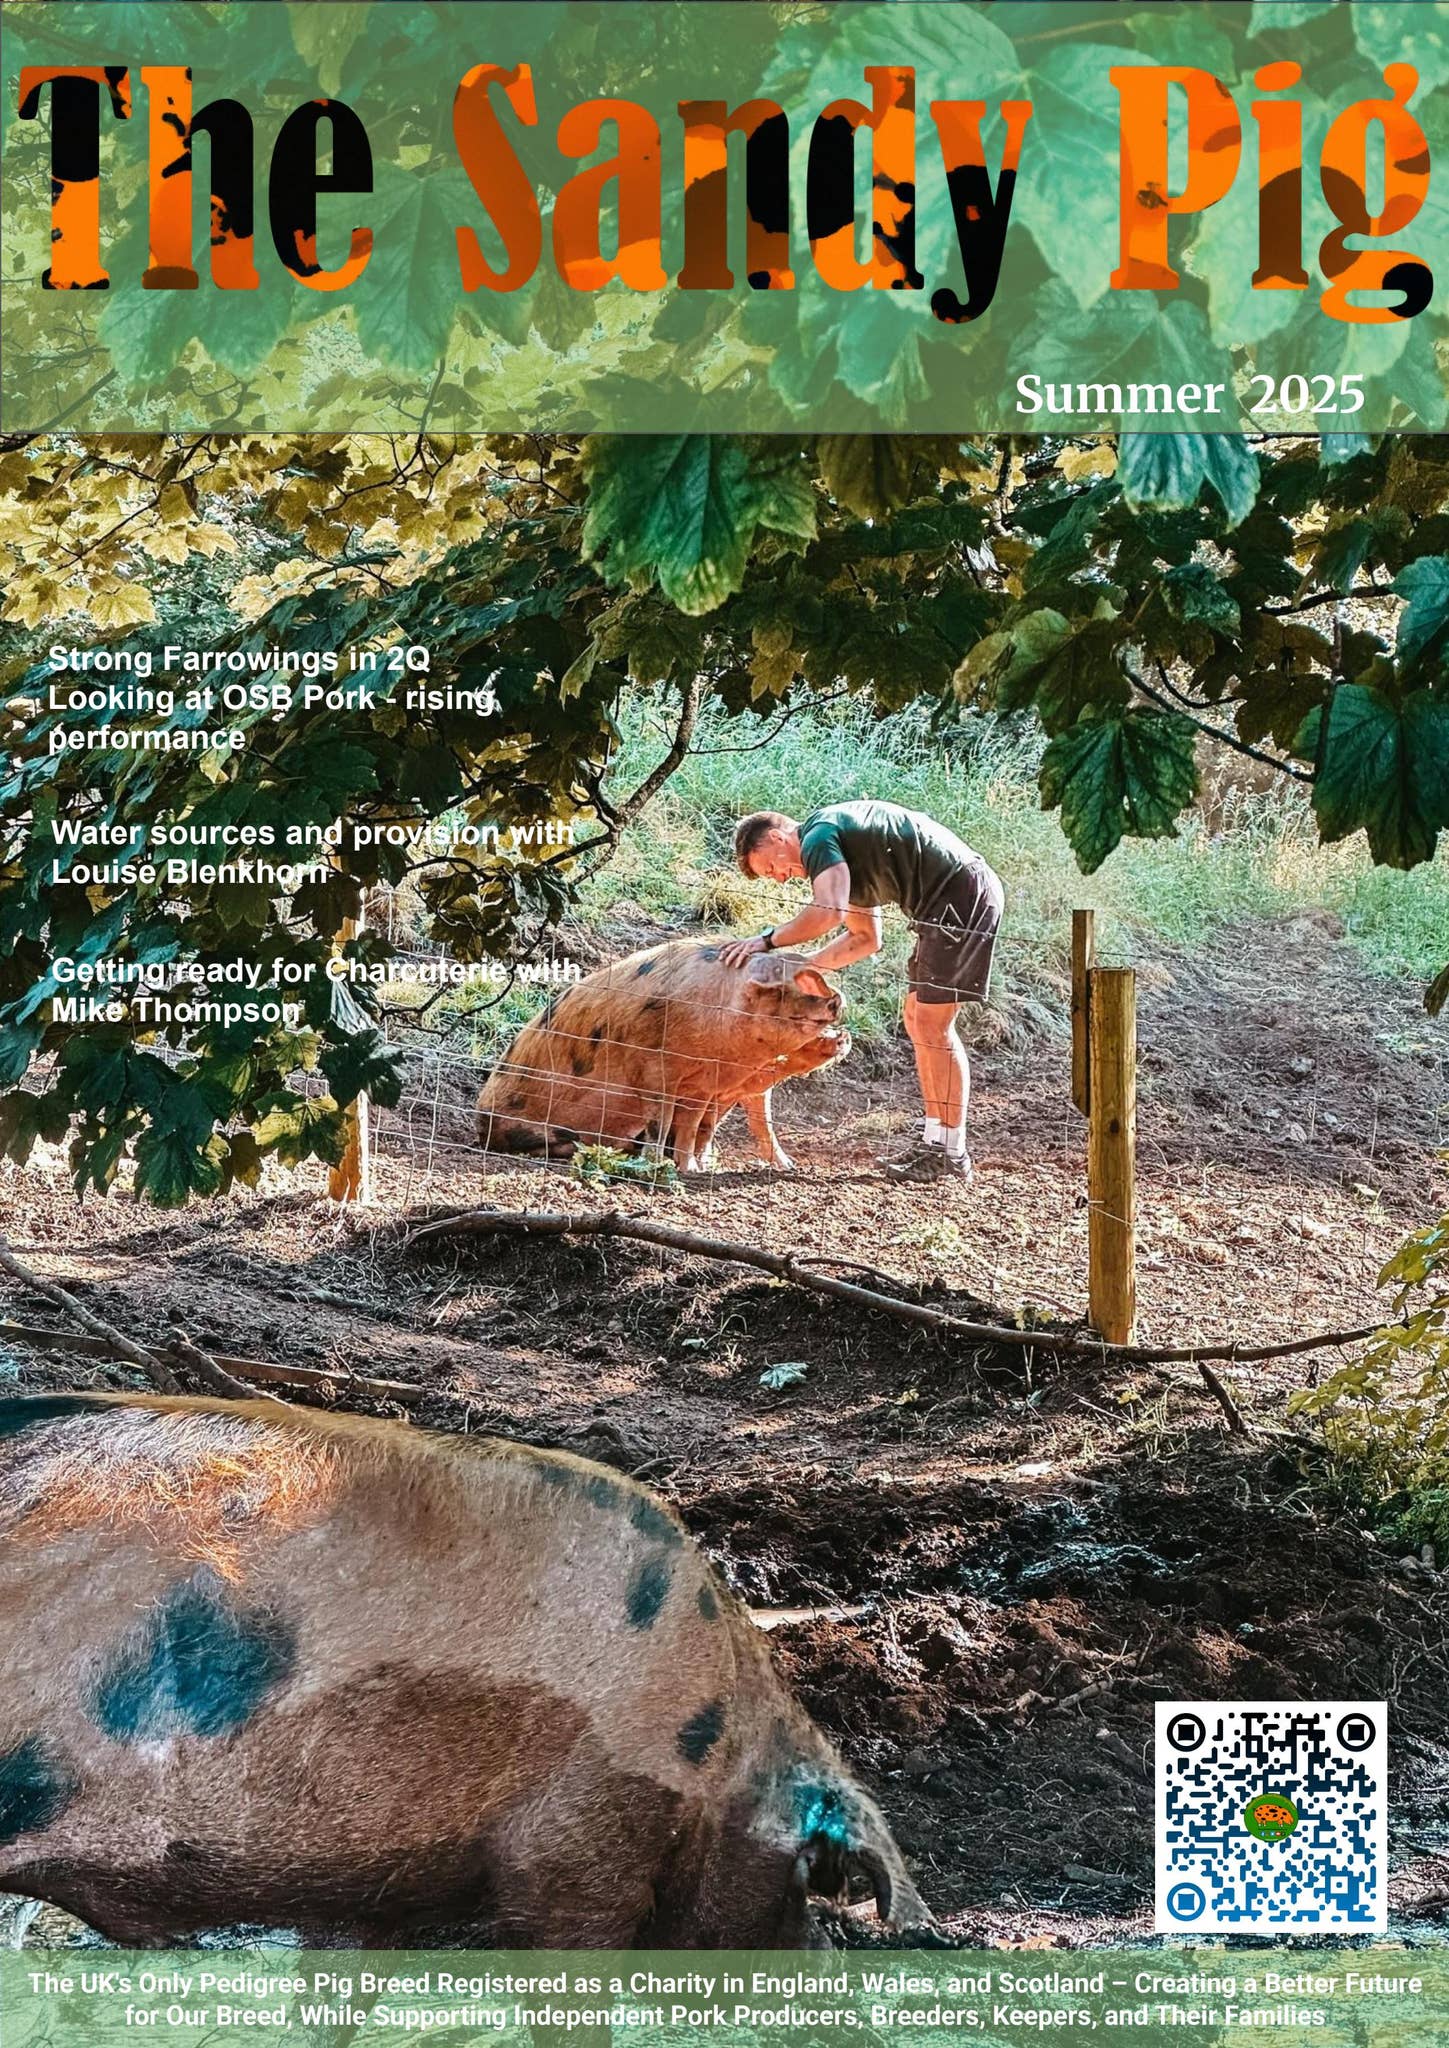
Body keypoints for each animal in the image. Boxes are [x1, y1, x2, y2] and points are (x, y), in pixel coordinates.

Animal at [477, 941, 849, 1171]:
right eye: (782, 983)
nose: (837, 999)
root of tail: (481, 1121)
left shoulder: (711, 1086)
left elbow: (715, 1126)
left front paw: (696, 1168)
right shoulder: (656, 1069)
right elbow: (664, 1120)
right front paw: (662, 1165)